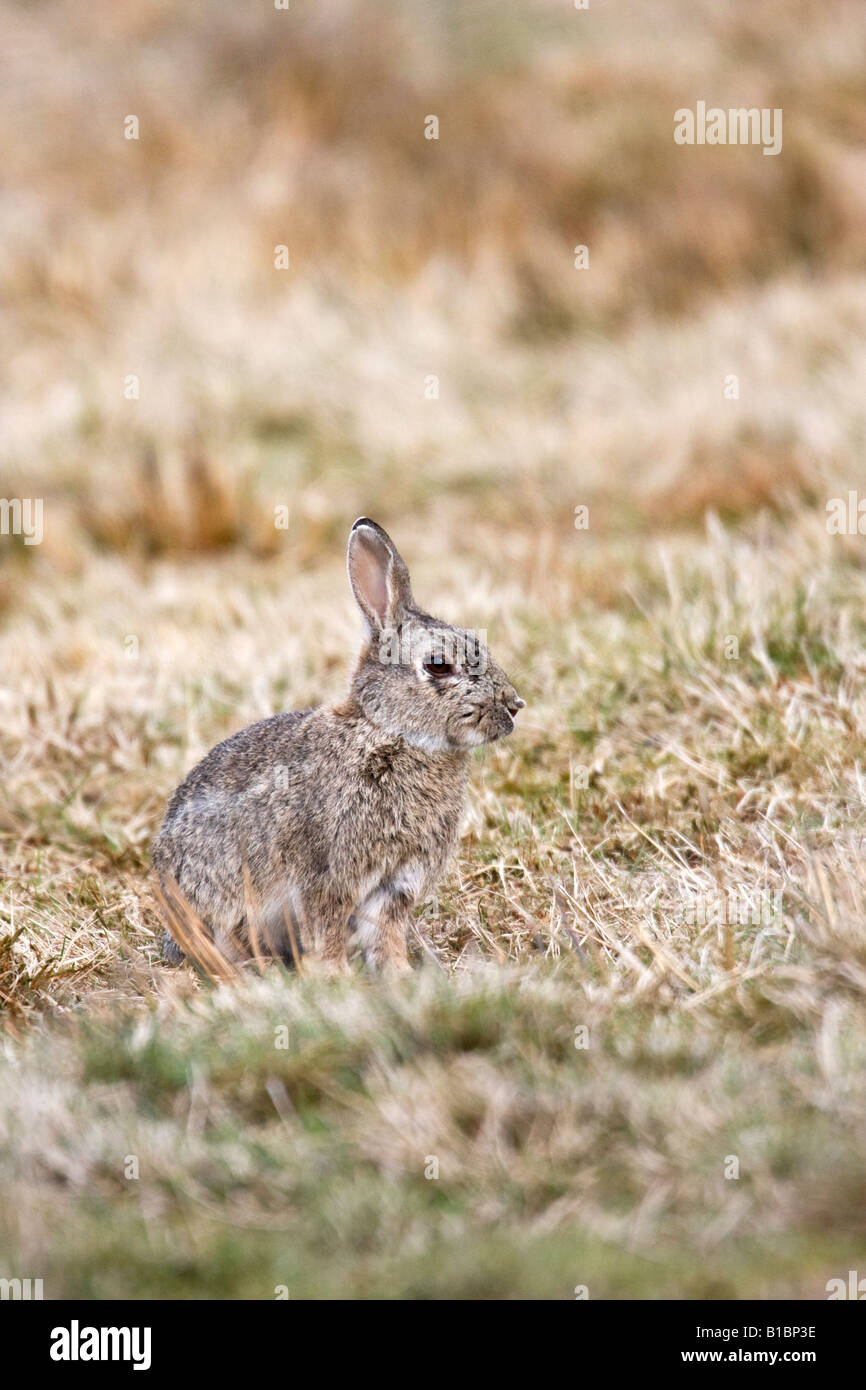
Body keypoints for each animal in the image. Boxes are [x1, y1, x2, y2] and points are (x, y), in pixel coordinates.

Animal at [153, 517, 524, 974]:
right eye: (438, 665)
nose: (514, 705)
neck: (388, 732)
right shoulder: (328, 875)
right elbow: (326, 927)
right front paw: (335, 976)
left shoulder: (396, 883)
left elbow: (385, 933)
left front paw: (398, 975)